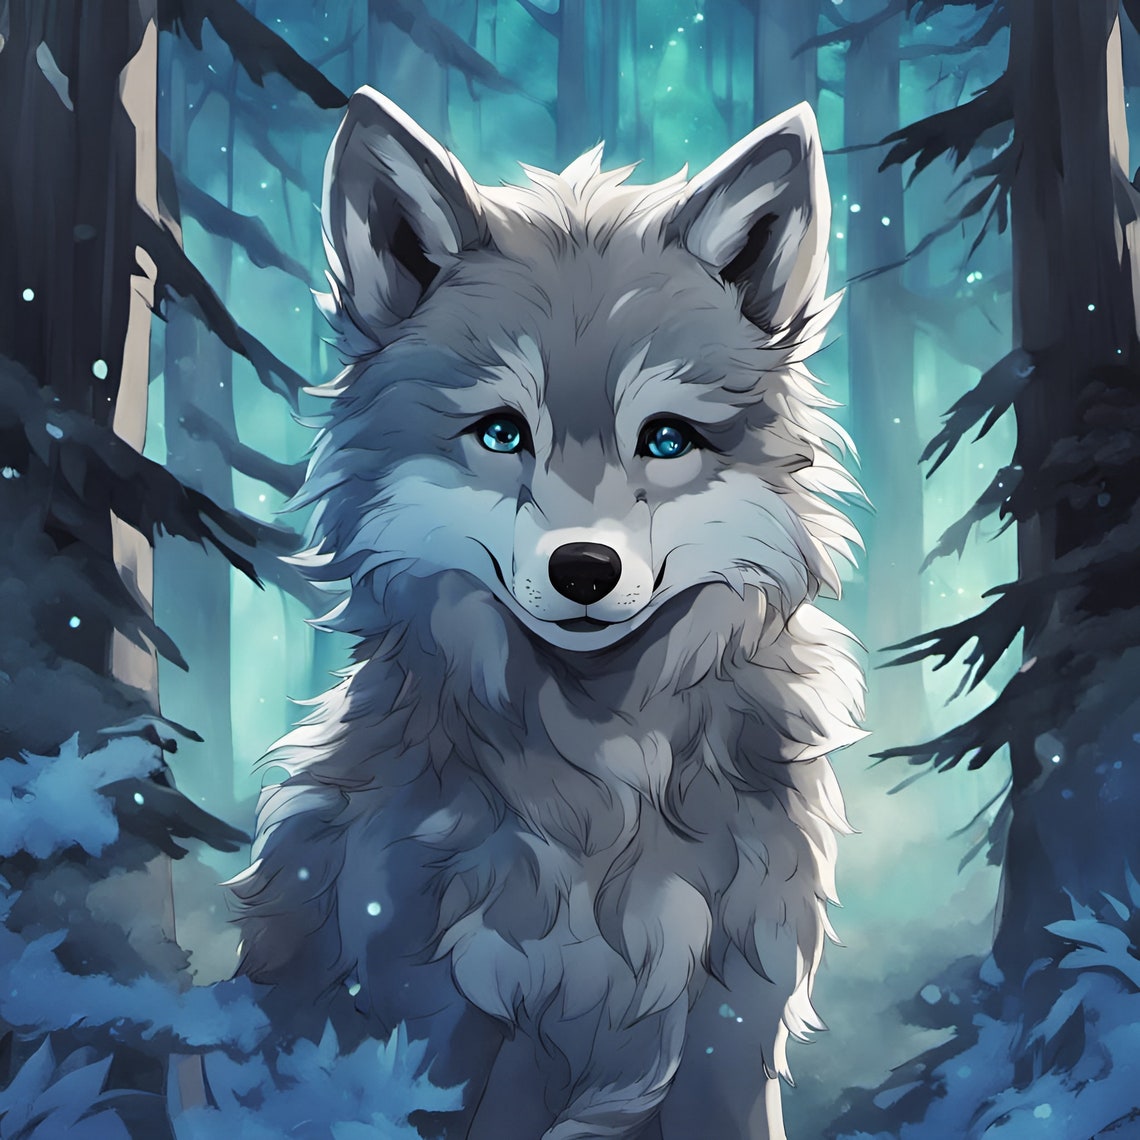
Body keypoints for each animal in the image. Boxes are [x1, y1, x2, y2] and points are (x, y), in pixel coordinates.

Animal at [230, 87, 865, 1140]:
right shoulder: (446, 1026)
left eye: (665, 439)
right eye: (500, 433)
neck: (600, 782)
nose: (585, 570)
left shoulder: (730, 1020)